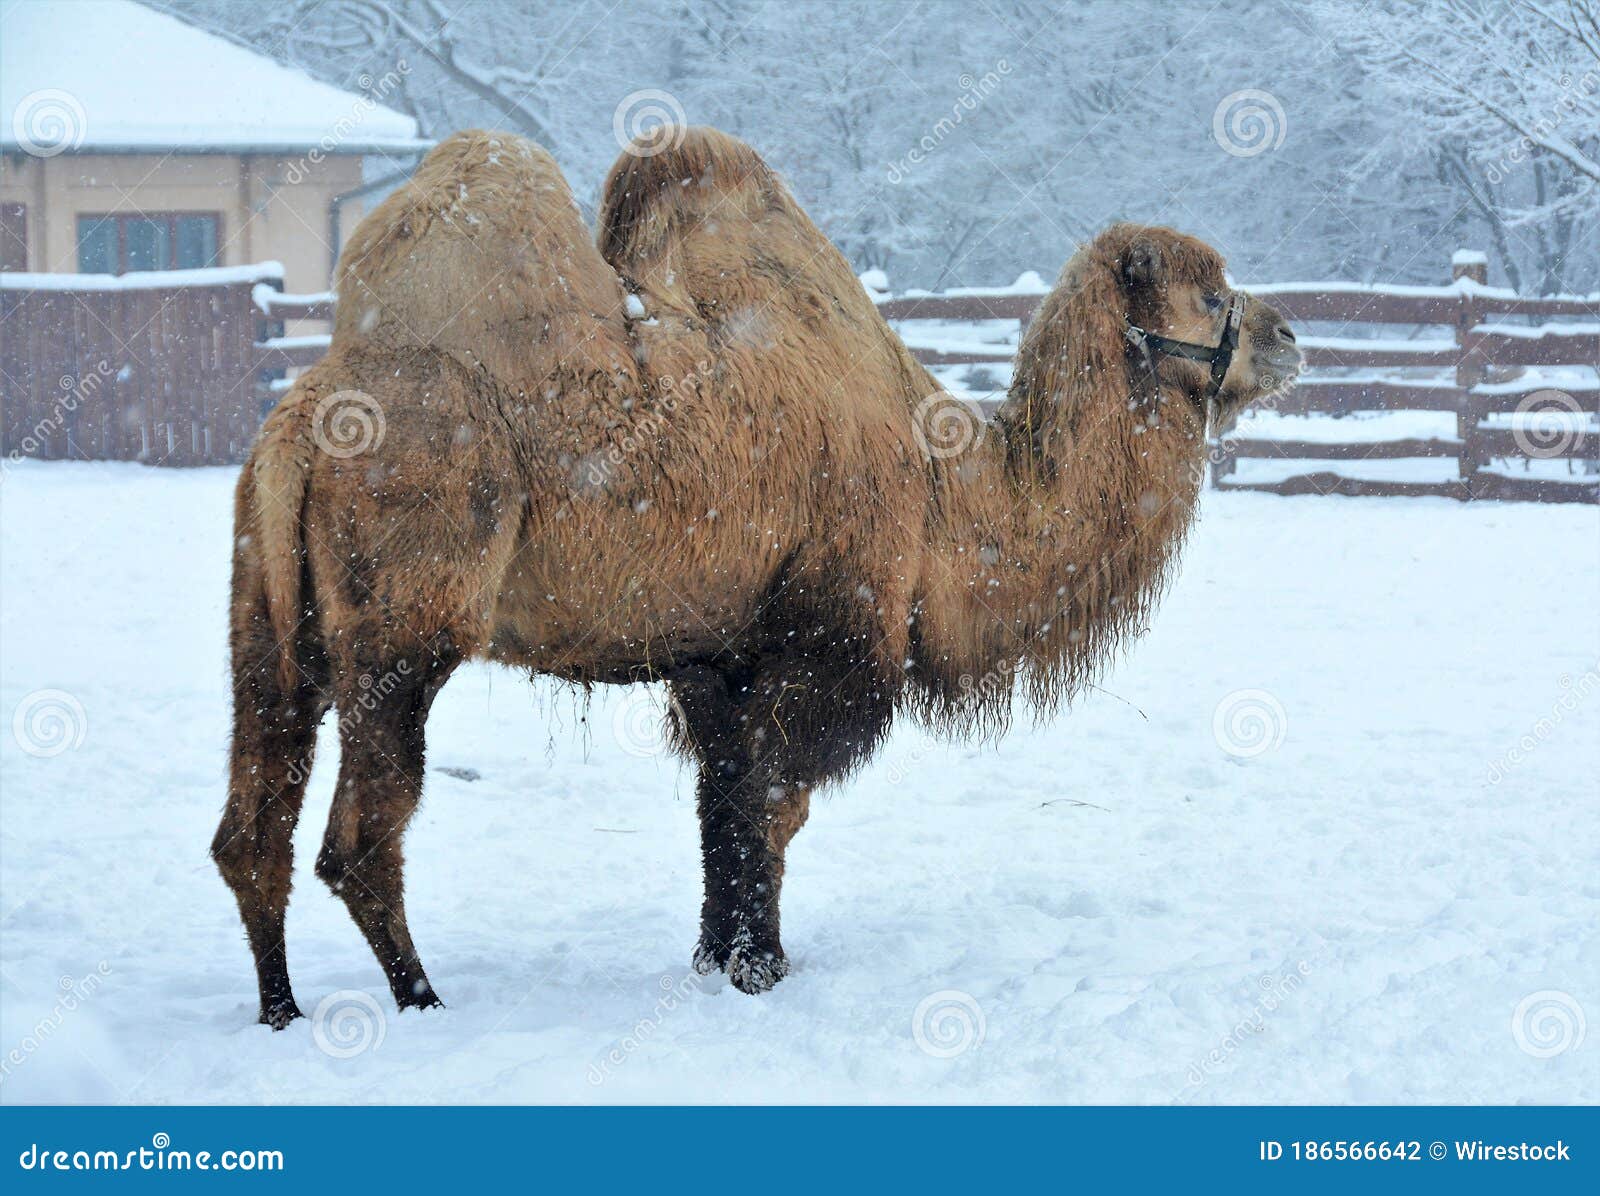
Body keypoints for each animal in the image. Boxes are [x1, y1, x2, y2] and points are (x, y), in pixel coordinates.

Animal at [212, 126, 1301, 1027]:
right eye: (1212, 295)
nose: (1289, 336)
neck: (942, 489)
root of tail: (298, 424)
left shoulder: (719, 650)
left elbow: (721, 805)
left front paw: (715, 958)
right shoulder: (828, 632)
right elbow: (773, 802)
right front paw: (760, 970)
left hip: (266, 617)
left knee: (250, 823)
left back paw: (280, 1008)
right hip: (405, 626)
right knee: (359, 833)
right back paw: (421, 999)